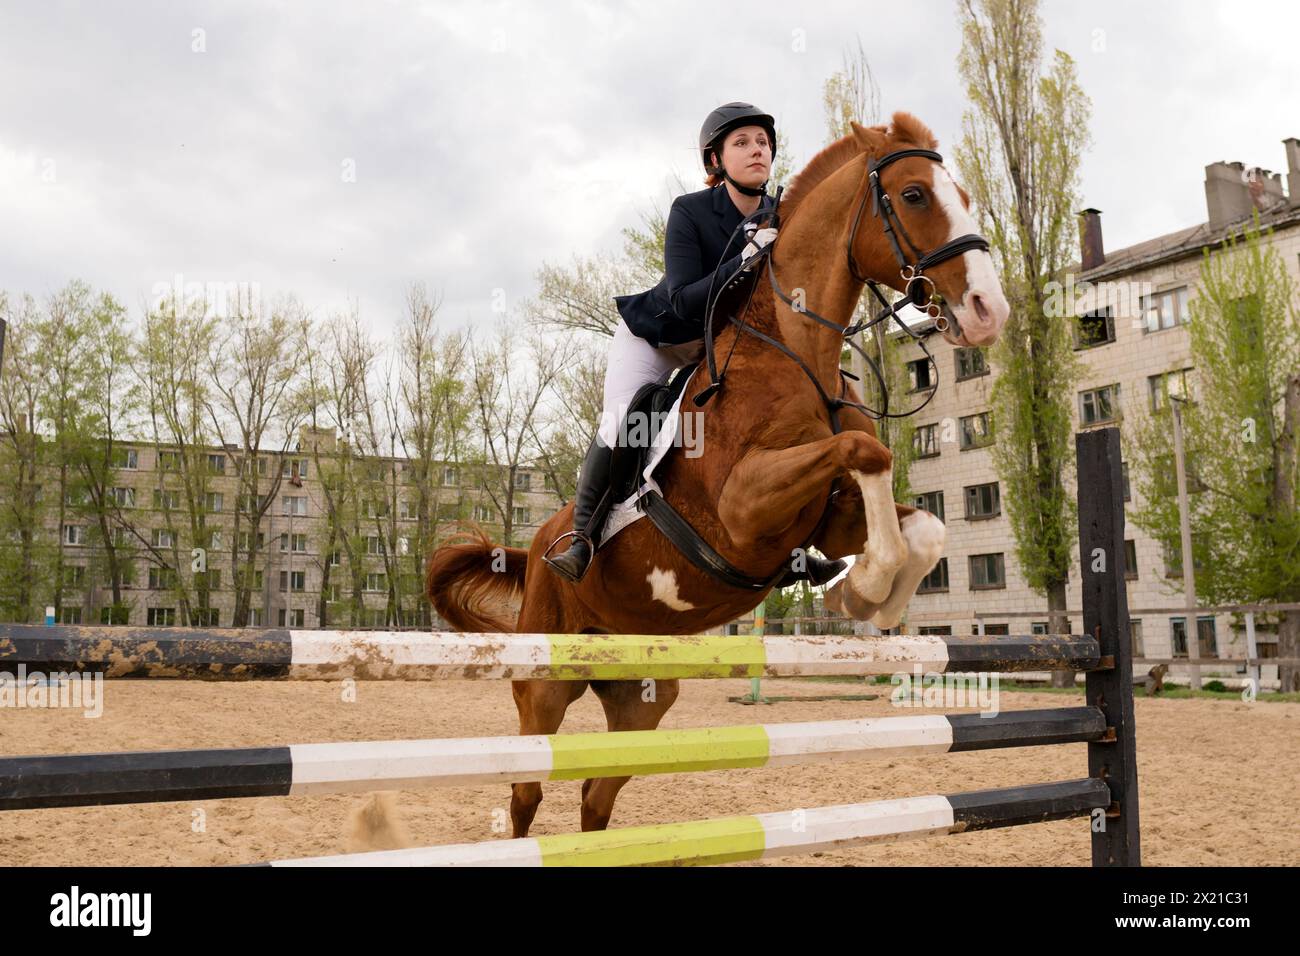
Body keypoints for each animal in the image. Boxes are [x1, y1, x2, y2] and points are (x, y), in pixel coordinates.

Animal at [426, 112, 1010, 838]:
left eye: (961, 192)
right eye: (913, 196)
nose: (989, 309)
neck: (797, 353)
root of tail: (531, 548)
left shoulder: (826, 519)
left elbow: (920, 524)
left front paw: (863, 593)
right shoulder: (744, 509)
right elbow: (864, 450)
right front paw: (867, 587)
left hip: (643, 696)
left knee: (594, 798)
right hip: (546, 680)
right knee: (526, 791)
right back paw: (574, 552)